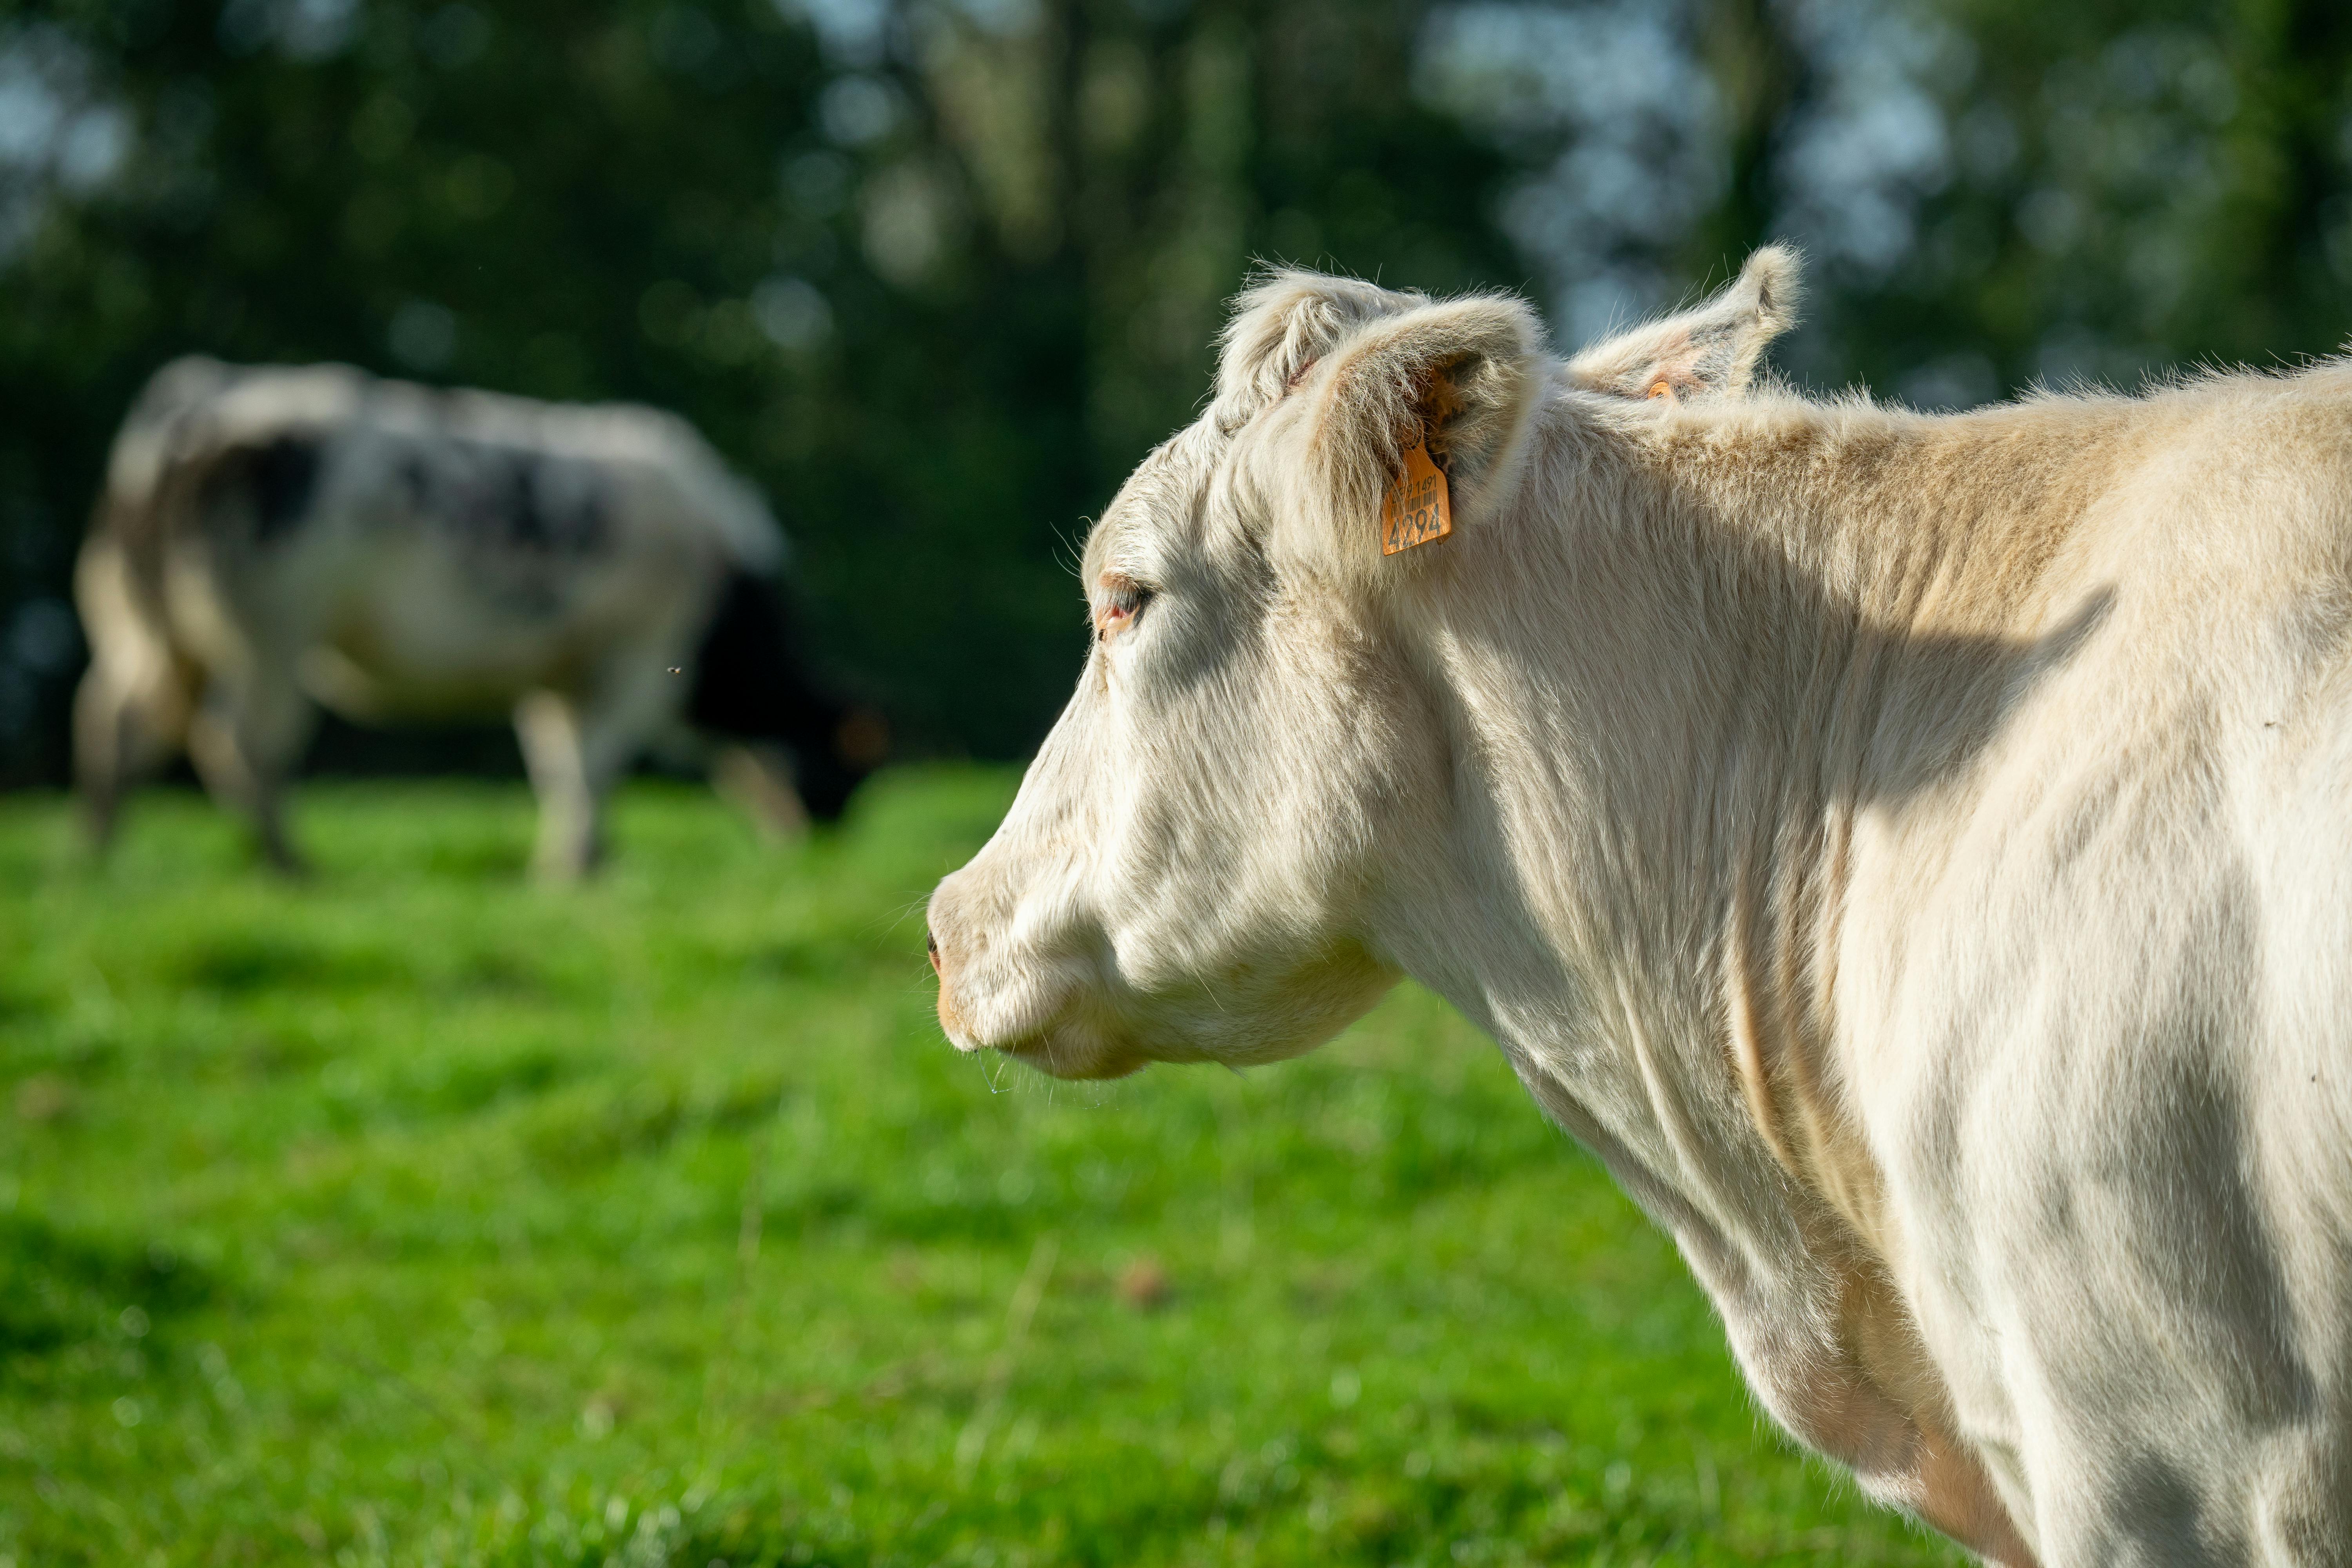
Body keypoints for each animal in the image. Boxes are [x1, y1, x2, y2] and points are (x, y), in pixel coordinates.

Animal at [75, 357, 880, 878]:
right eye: (847, 766)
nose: (822, 837)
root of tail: (190, 417)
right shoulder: (636, 659)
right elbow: (596, 766)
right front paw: (579, 865)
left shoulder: (555, 674)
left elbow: (559, 768)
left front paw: (575, 859)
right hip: (267, 637)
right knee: (242, 745)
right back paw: (289, 863)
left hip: (145, 634)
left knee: (114, 725)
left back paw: (97, 856)